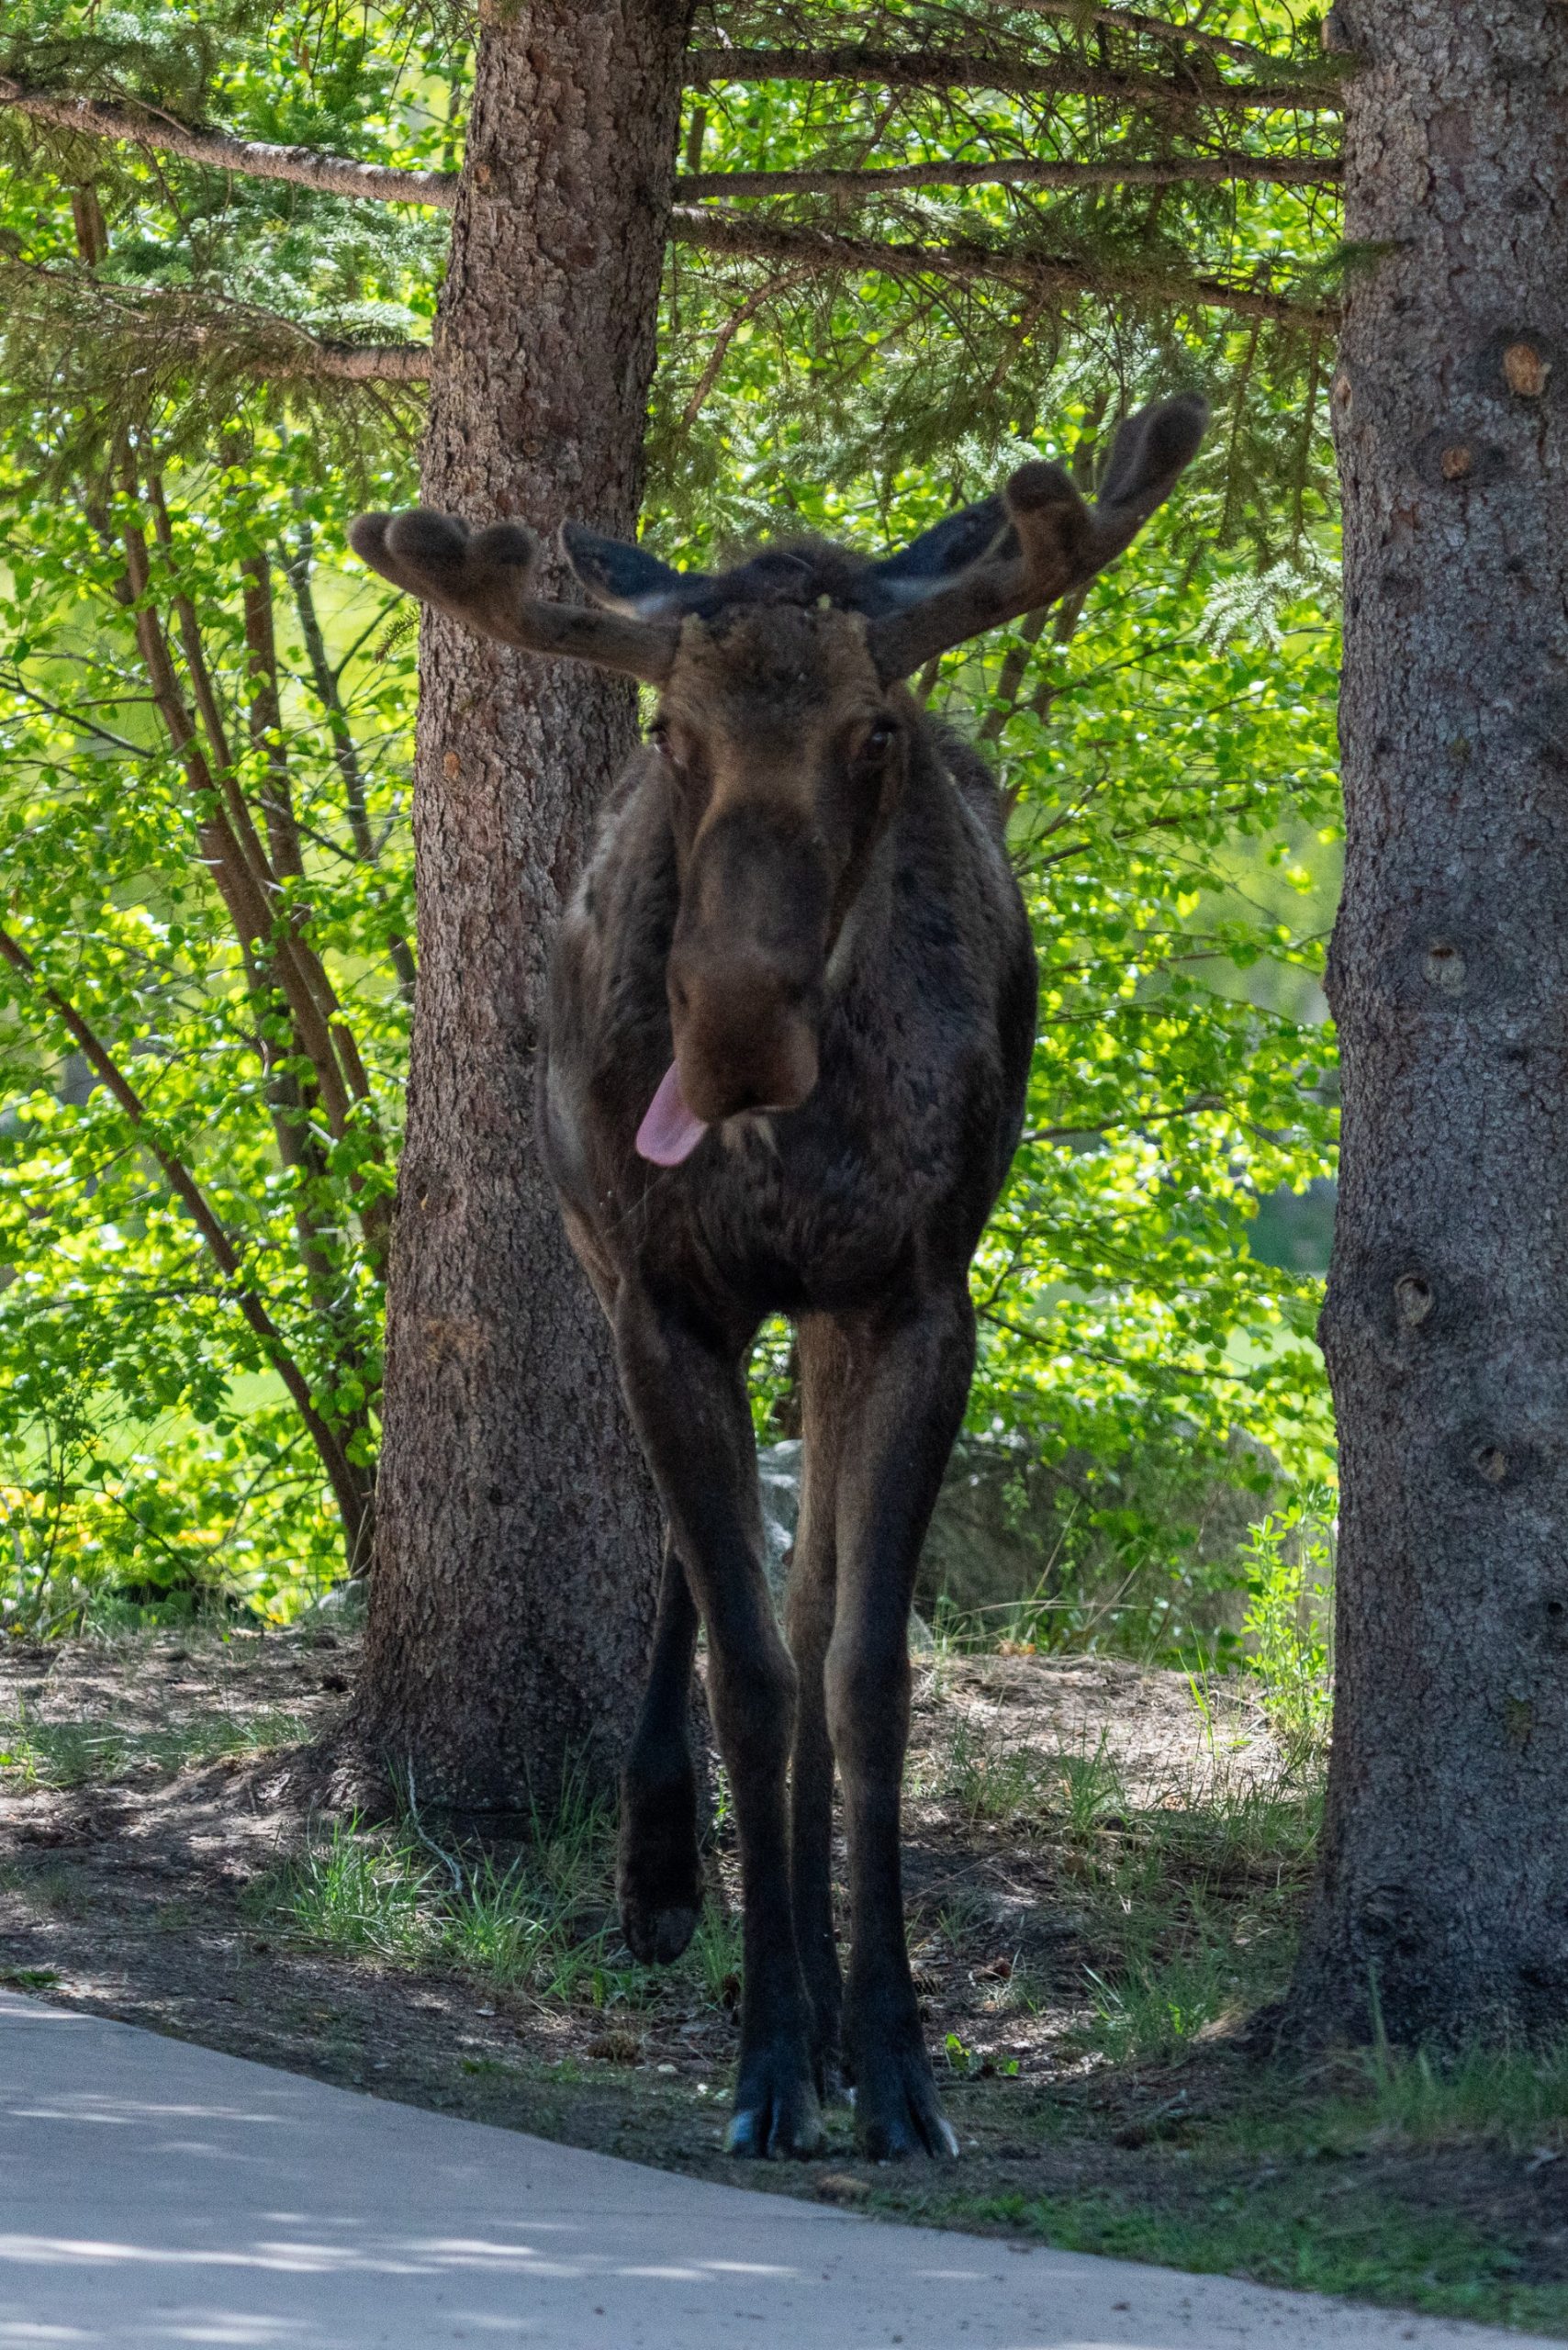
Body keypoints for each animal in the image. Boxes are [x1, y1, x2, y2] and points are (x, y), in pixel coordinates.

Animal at [351, 389, 1206, 2163]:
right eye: (673, 739)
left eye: (873, 735)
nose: (732, 1034)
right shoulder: (662, 1299)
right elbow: (743, 1664)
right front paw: (760, 2059)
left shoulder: (914, 1294)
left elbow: (860, 1669)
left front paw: (890, 2060)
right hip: (631, 1262)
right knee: (711, 1584)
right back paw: (678, 1889)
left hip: (822, 1312)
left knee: (807, 1609)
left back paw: (808, 1991)